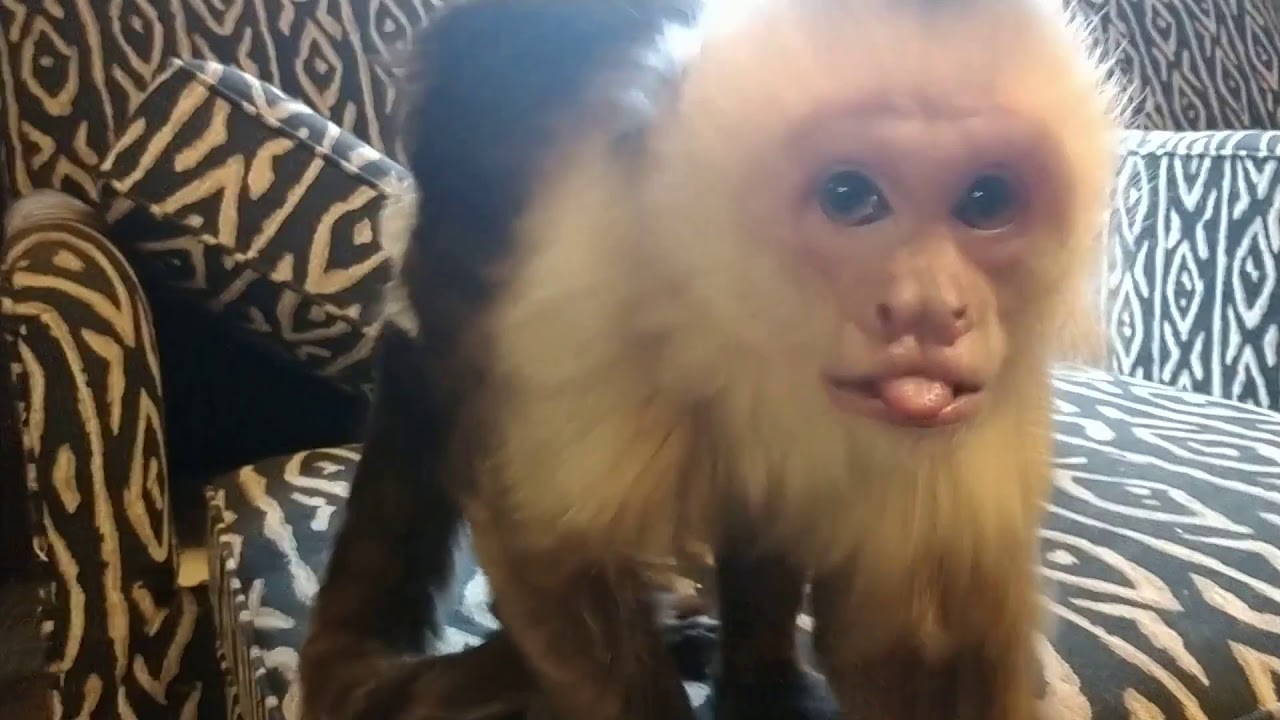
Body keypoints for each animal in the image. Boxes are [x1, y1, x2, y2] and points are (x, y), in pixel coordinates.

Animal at [298, 0, 1124, 718]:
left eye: (987, 202)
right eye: (849, 196)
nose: (928, 309)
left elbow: (921, 643)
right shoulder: (595, 288)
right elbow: (546, 544)